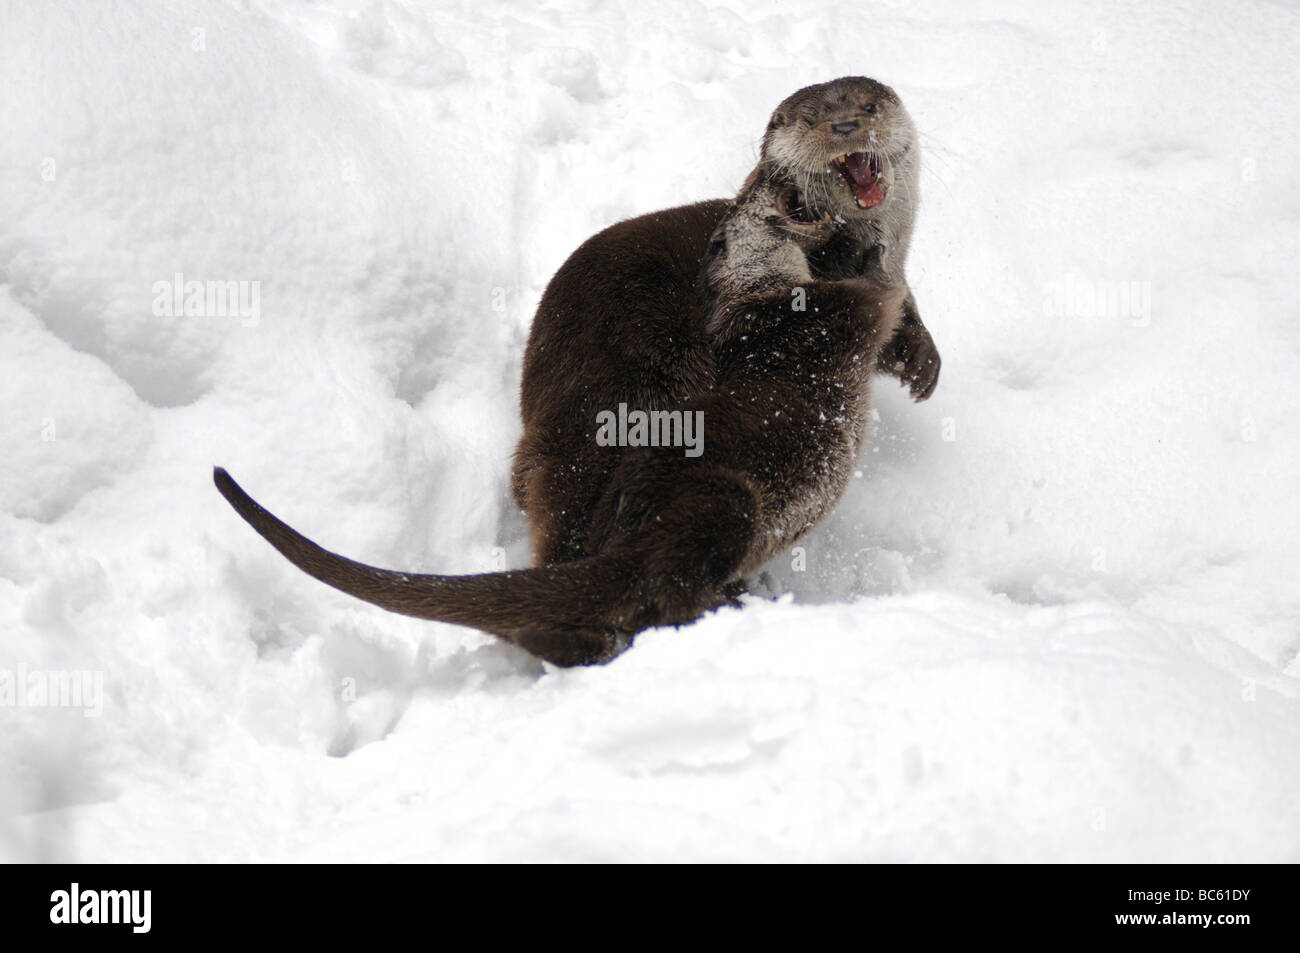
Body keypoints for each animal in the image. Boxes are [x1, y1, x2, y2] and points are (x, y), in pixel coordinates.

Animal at [214, 174, 905, 666]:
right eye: (750, 201)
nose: (779, 183)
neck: (764, 305)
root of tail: (622, 543)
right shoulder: (828, 316)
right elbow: (876, 296)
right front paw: (871, 249)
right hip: (723, 497)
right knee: (668, 593)